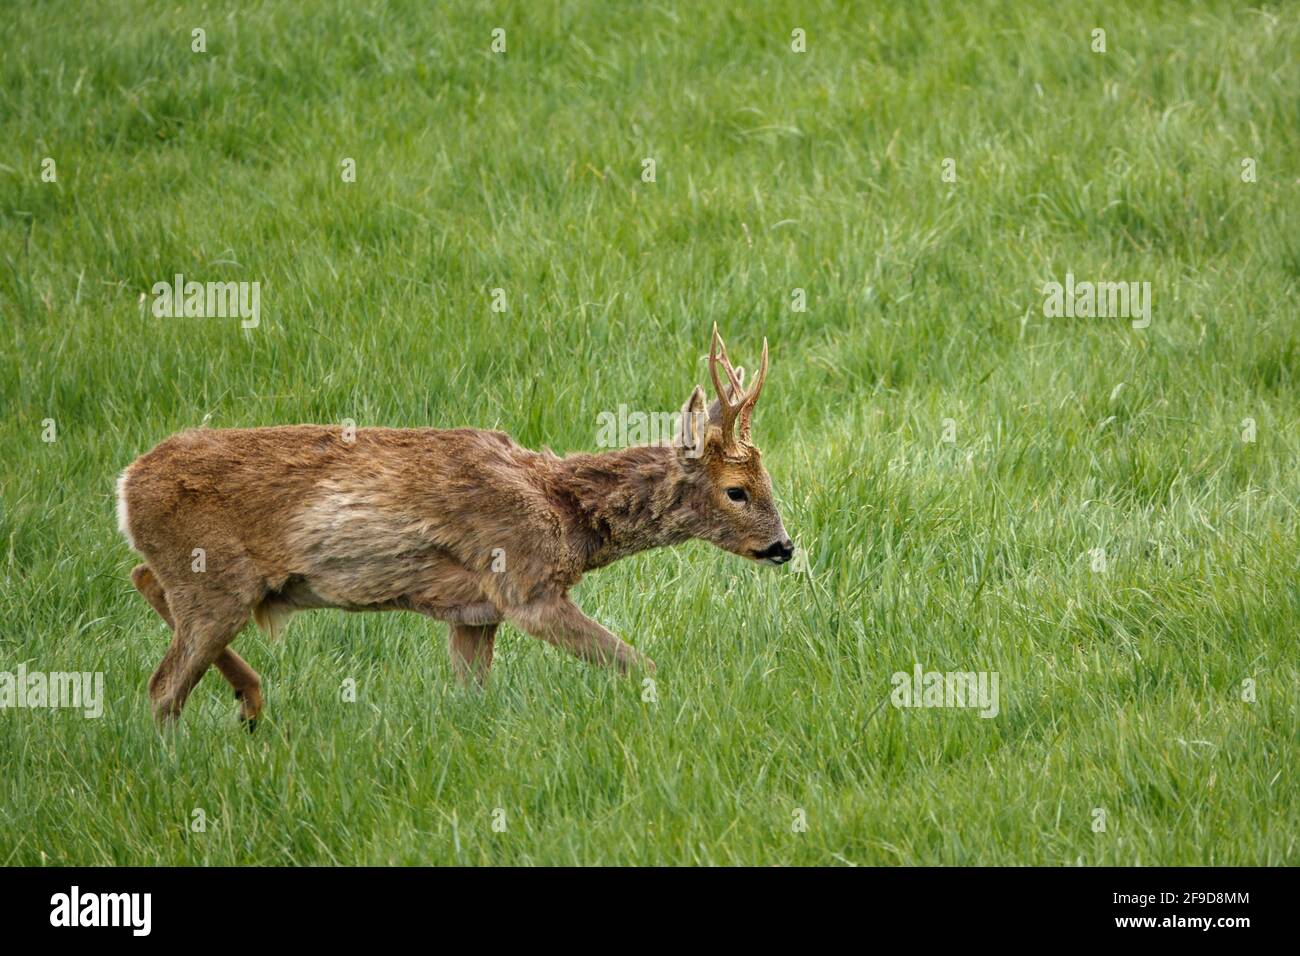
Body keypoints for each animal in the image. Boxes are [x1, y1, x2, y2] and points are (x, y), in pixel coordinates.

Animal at [116, 326, 793, 728]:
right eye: (736, 490)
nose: (784, 546)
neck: (560, 509)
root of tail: (125, 486)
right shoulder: (525, 587)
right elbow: (637, 663)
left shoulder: (473, 614)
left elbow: (471, 696)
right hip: (213, 581)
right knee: (161, 687)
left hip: (207, 582)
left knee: (143, 581)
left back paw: (251, 702)